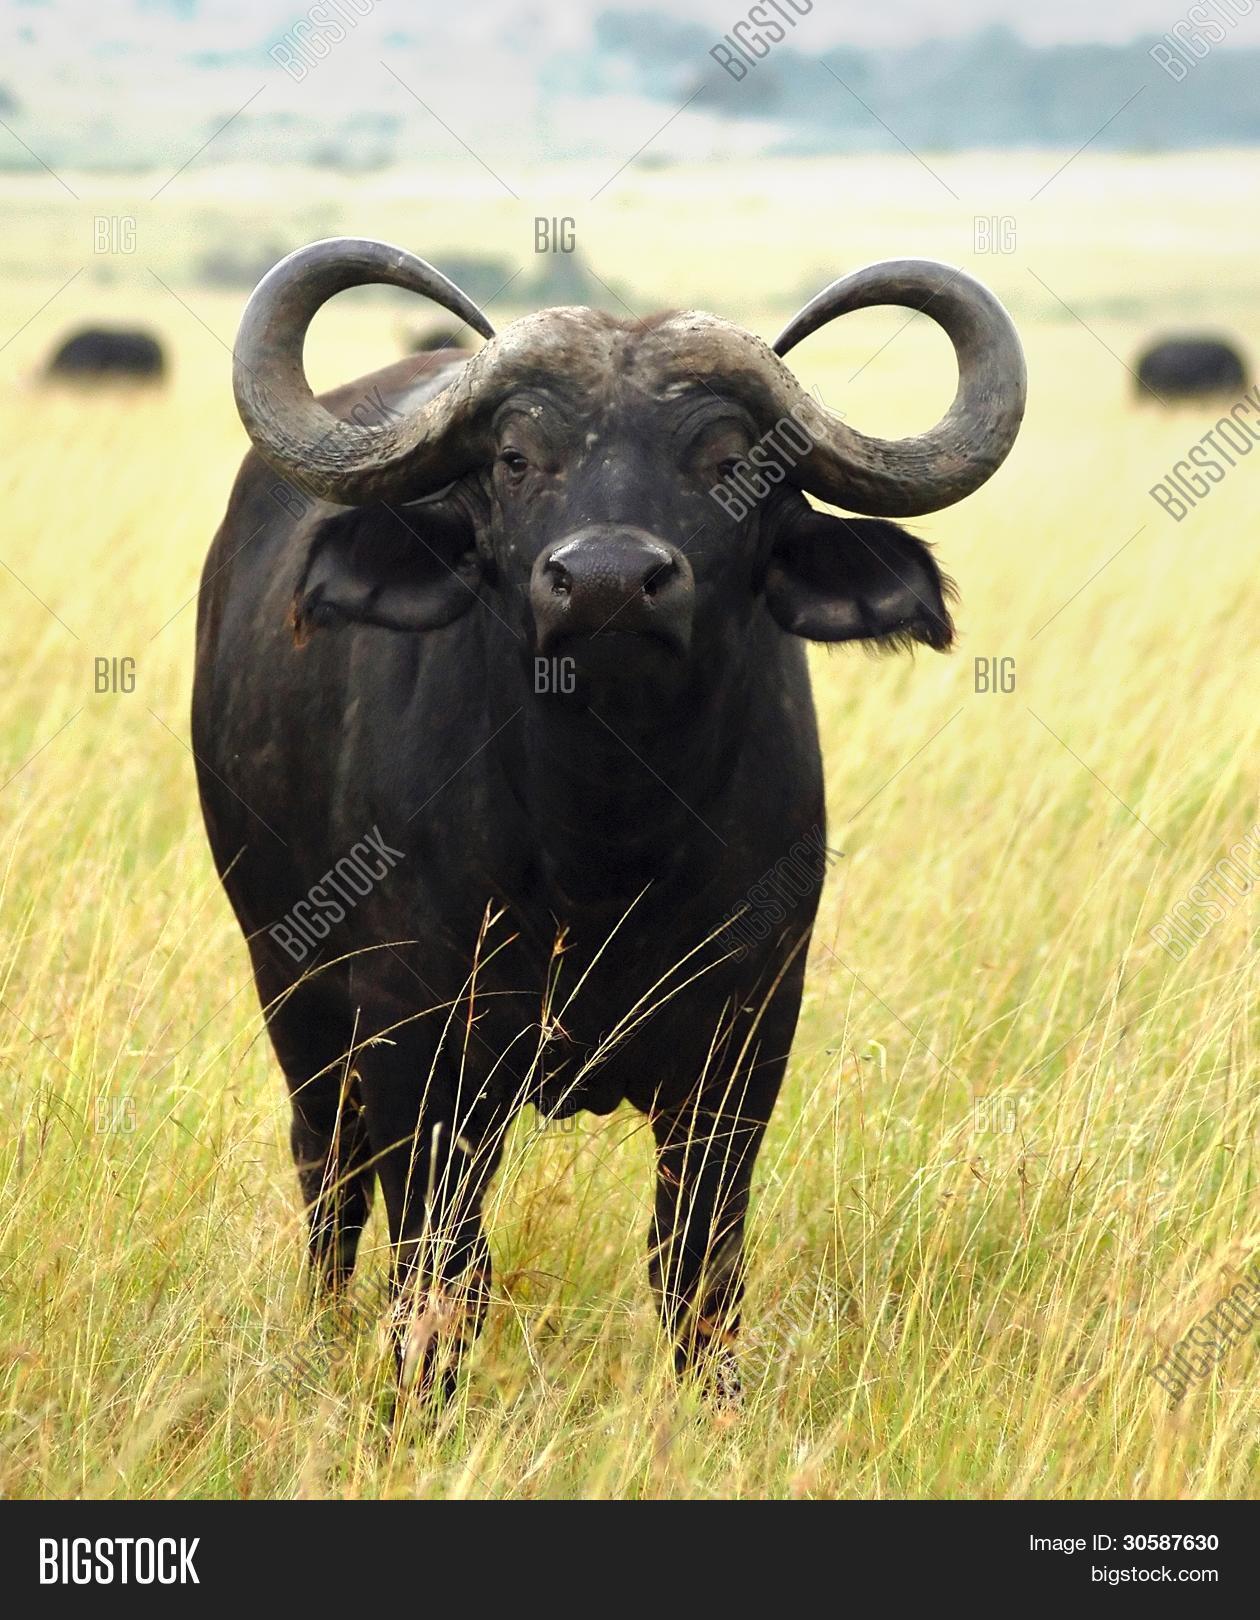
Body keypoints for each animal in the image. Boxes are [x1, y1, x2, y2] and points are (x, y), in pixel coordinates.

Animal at [194, 238, 1025, 1398]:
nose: (606, 582)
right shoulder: (416, 1042)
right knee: (329, 1176)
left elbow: (696, 1272)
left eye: (728, 461)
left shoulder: (746, 1041)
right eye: (513, 458)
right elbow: (442, 1271)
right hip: (290, 985)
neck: (603, 834)